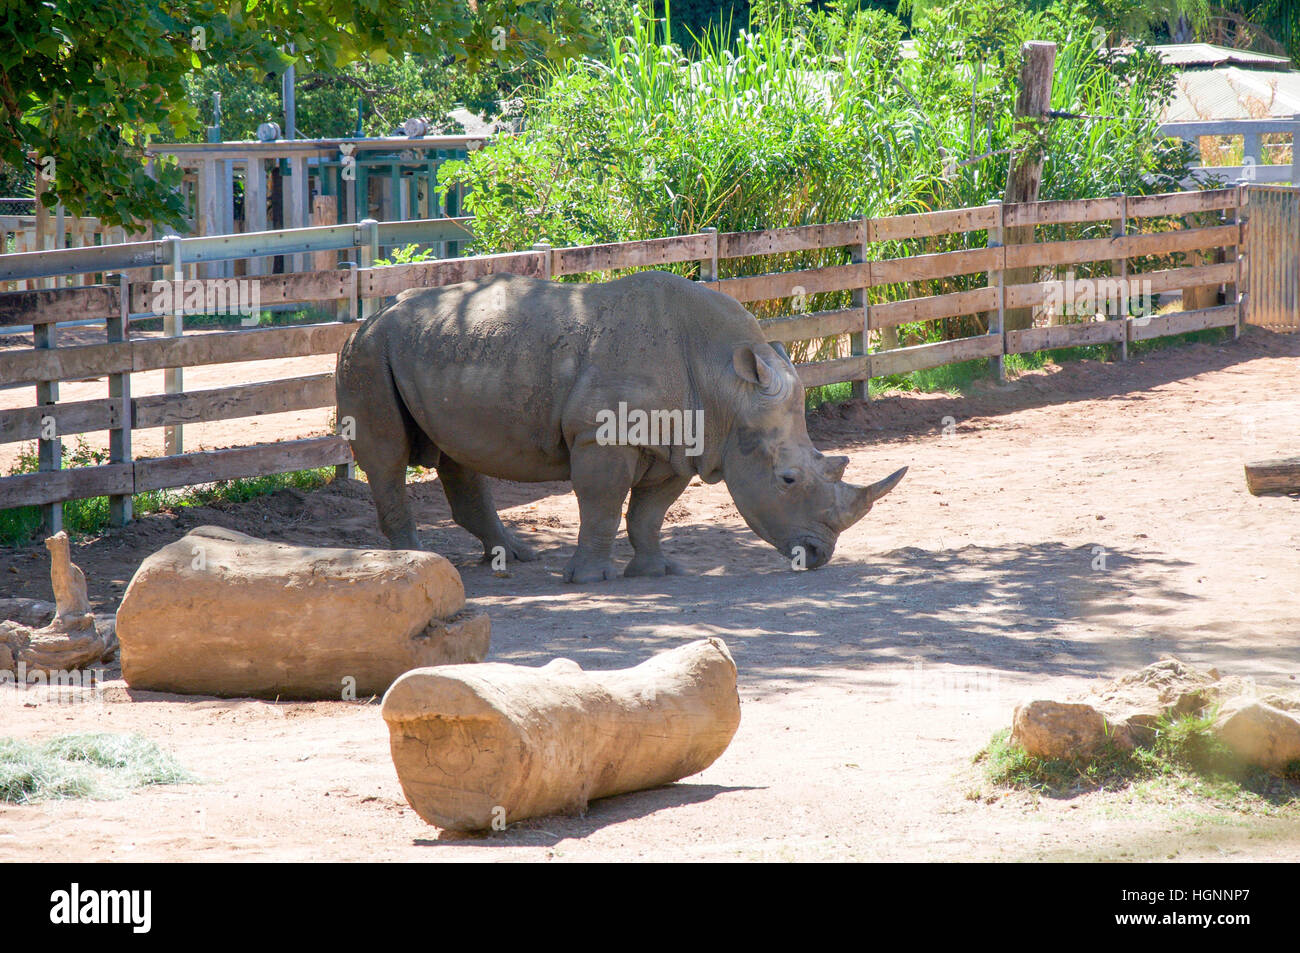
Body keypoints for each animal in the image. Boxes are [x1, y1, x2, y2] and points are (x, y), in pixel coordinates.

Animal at [335, 271, 906, 582]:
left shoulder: (680, 444)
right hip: (368, 353)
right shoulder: (602, 435)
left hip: (432, 350)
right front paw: (589, 579)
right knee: (386, 456)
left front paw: (657, 572)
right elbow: (604, 503)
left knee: (458, 454)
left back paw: (513, 557)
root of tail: (371, 315)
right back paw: (416, 559)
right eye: (787, 479)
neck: (728, 387)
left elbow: (650, 512)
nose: (819, 556)